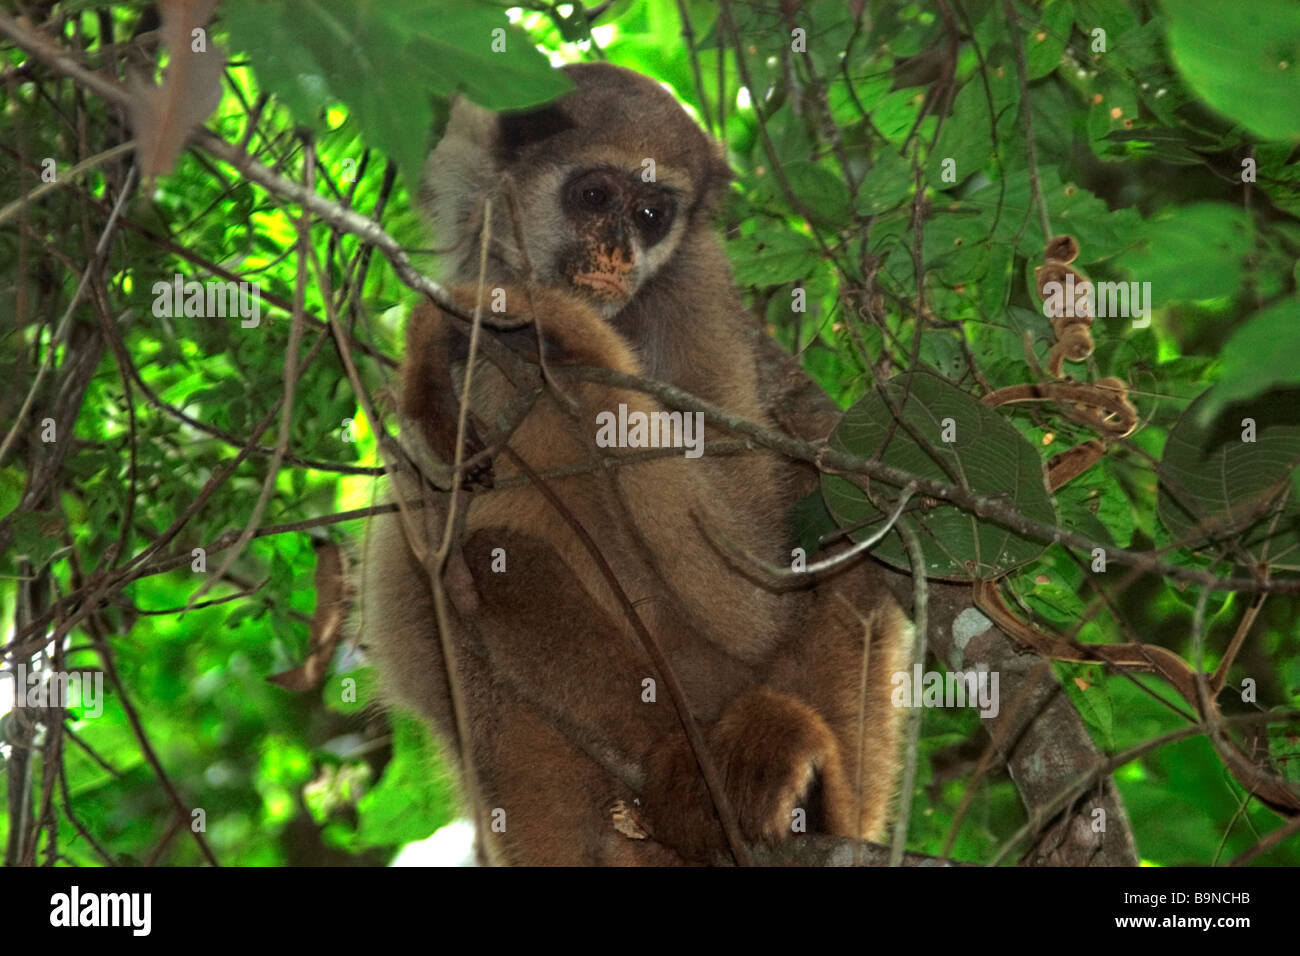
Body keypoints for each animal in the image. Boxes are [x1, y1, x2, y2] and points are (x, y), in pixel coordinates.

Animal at [359, 62, 912, 865]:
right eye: (593, 197)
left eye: (652, 213)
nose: (619, 253)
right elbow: (421, 620)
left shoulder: (698, 290)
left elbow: (756, 598)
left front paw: (557, 325)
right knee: (483, 564)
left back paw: (794, 795)